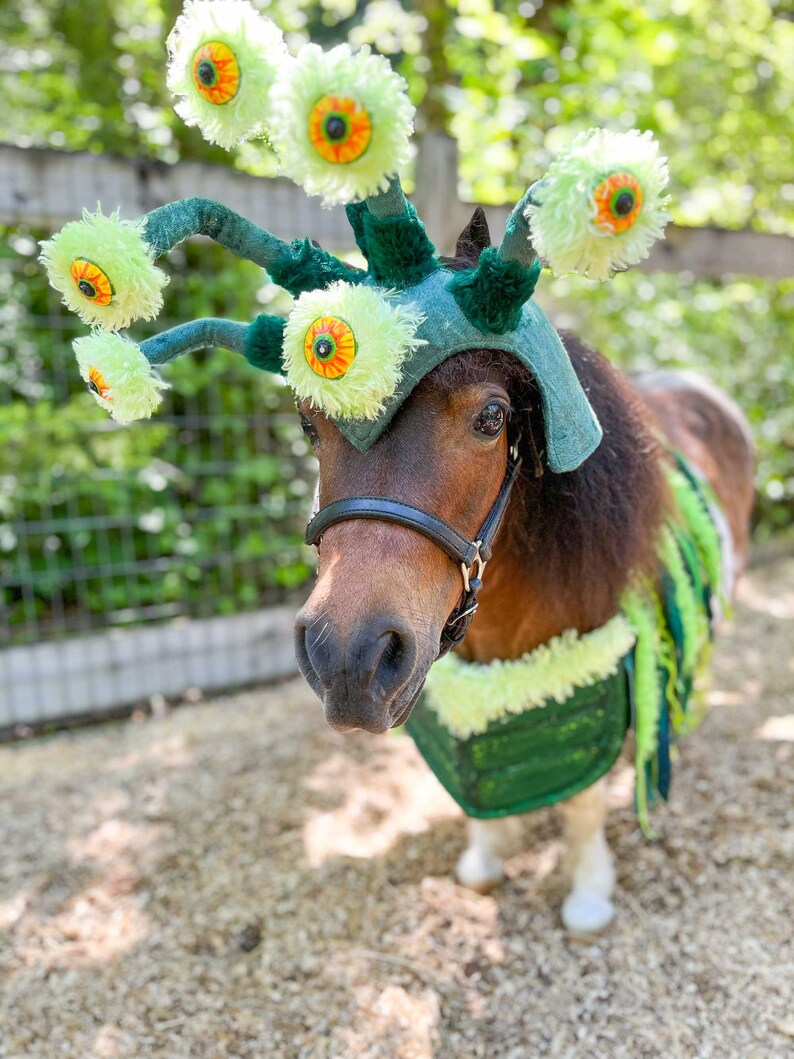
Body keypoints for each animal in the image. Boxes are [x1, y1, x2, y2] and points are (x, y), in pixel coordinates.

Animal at [293, 215, 755, 933]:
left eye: (491, 417)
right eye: (310, 424)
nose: (346, 658)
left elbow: (585, 797)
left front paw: (589, 888)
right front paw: (489, 853)